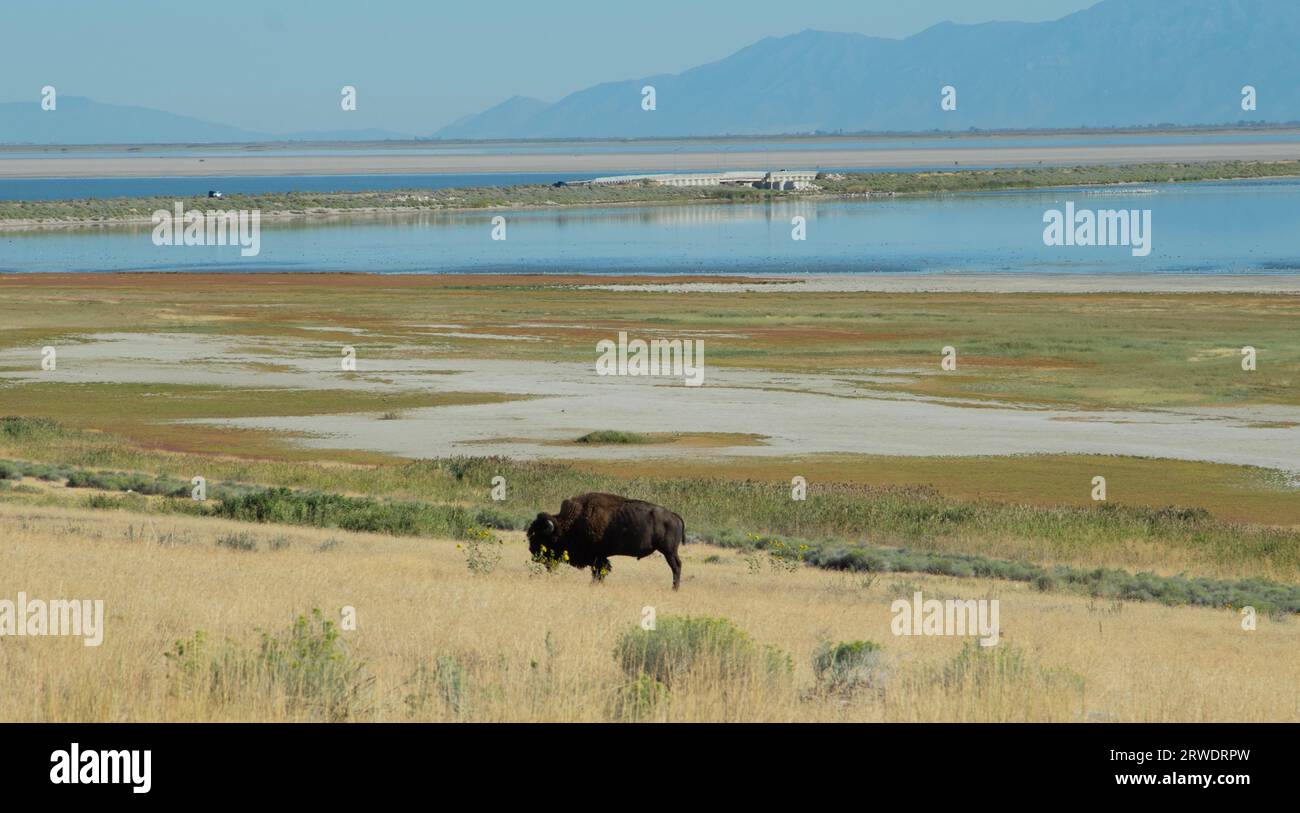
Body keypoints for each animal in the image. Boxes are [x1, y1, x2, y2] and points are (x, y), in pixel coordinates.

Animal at [527, 493, 686, 589]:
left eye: (543, 538)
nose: (534, 554)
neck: (571, 523)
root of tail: (674, 516)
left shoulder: (597, 557)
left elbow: (599, 571)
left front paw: (593, 584)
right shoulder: (600, 557)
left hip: (669, 552)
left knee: (676, 566)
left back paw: (674, 588)